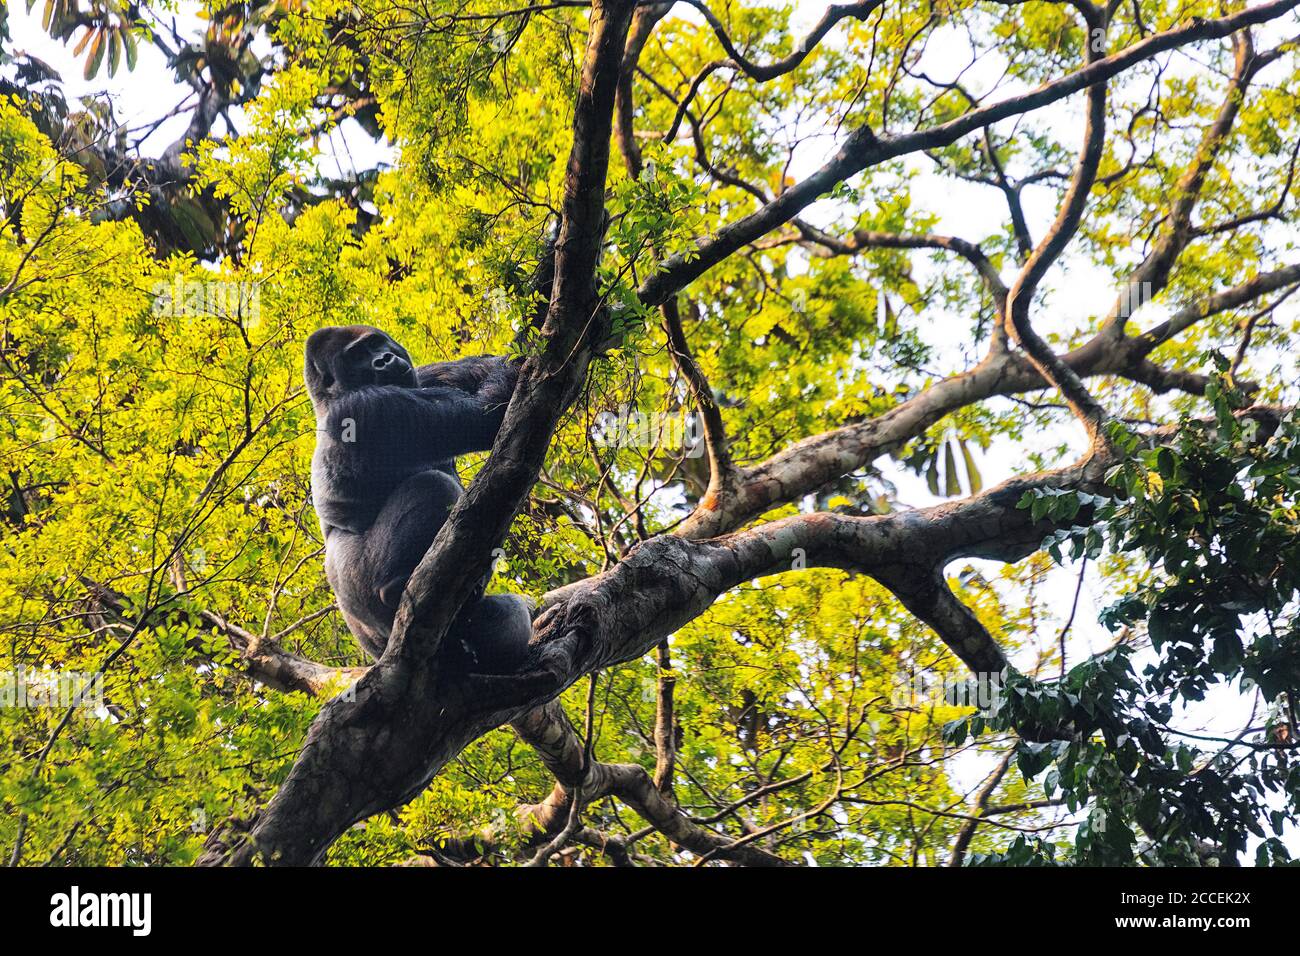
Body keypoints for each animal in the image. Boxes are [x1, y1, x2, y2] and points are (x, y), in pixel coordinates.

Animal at [303, 324, 533, 671]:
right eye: (357, 356)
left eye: (376, 344)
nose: (384, 360)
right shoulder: (371, 409)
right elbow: (485, 417)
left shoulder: (418, 378)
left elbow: (470, 370)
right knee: (433, 485)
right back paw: (394, 587)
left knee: (511, 614)